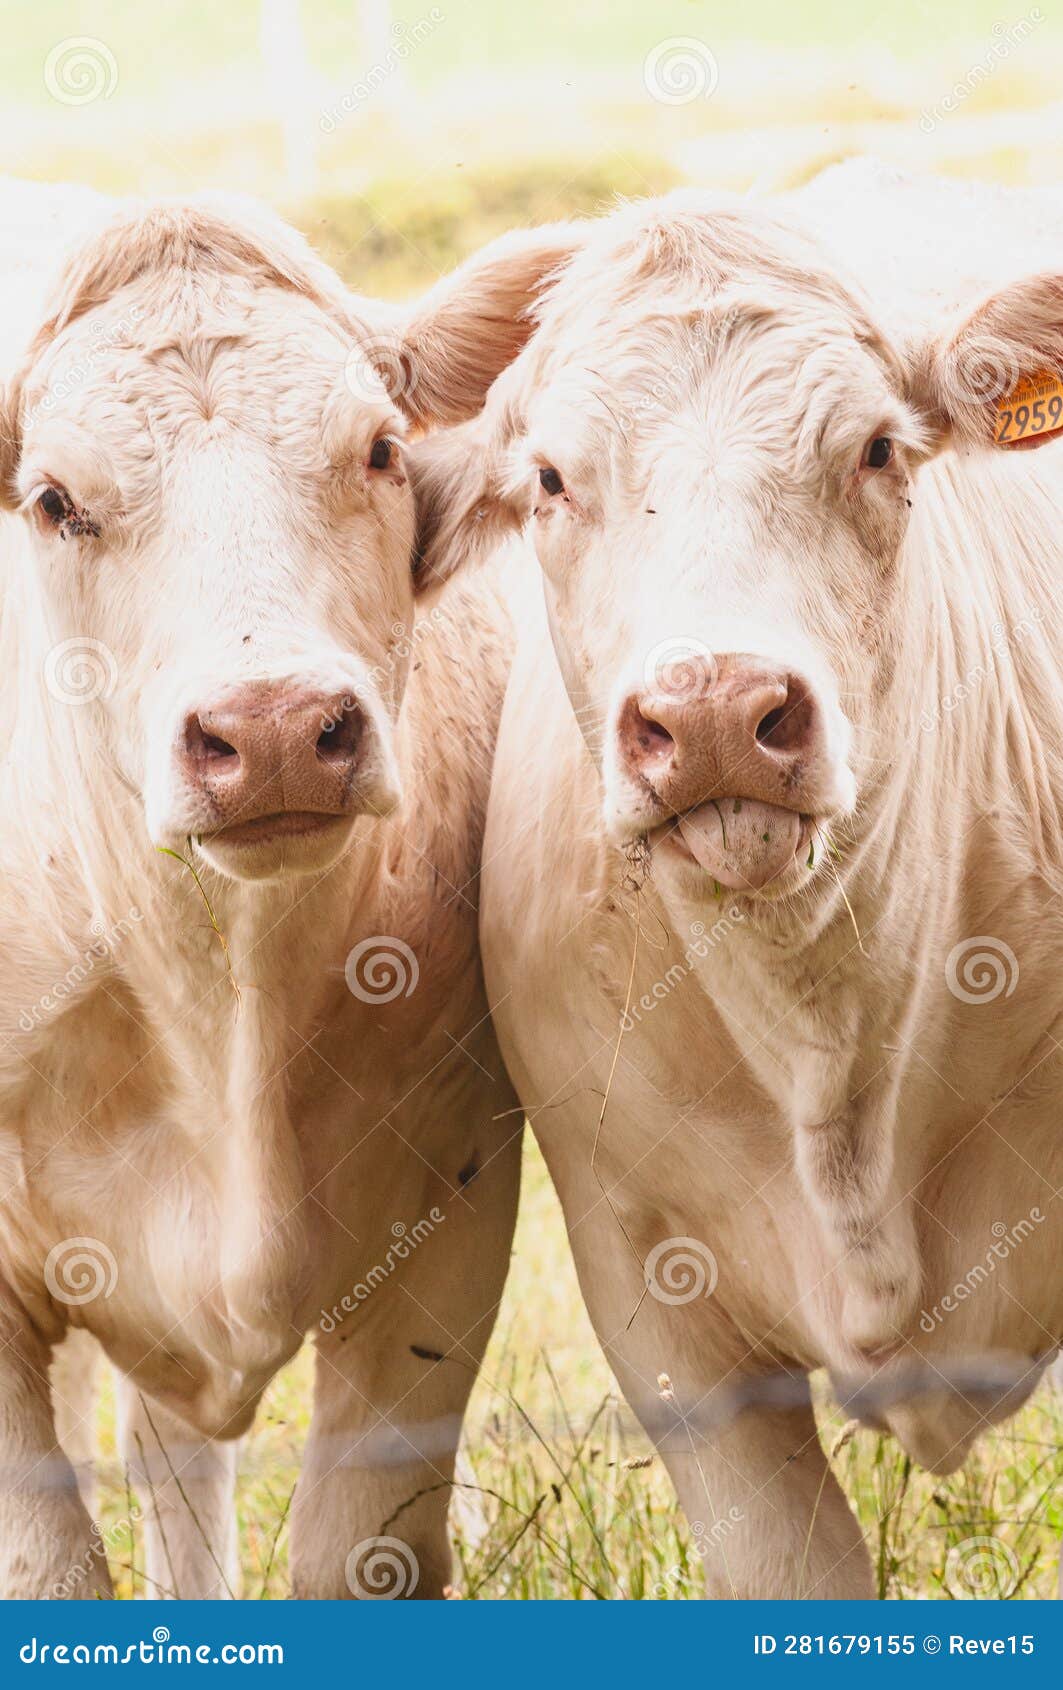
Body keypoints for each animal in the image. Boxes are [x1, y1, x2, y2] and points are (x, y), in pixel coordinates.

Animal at [0, 181, 577, 1599]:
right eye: (54, 499)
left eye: (378, 450)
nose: (267, 730)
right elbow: (52, 1569)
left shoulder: (448, 1220)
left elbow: (362, 1550)